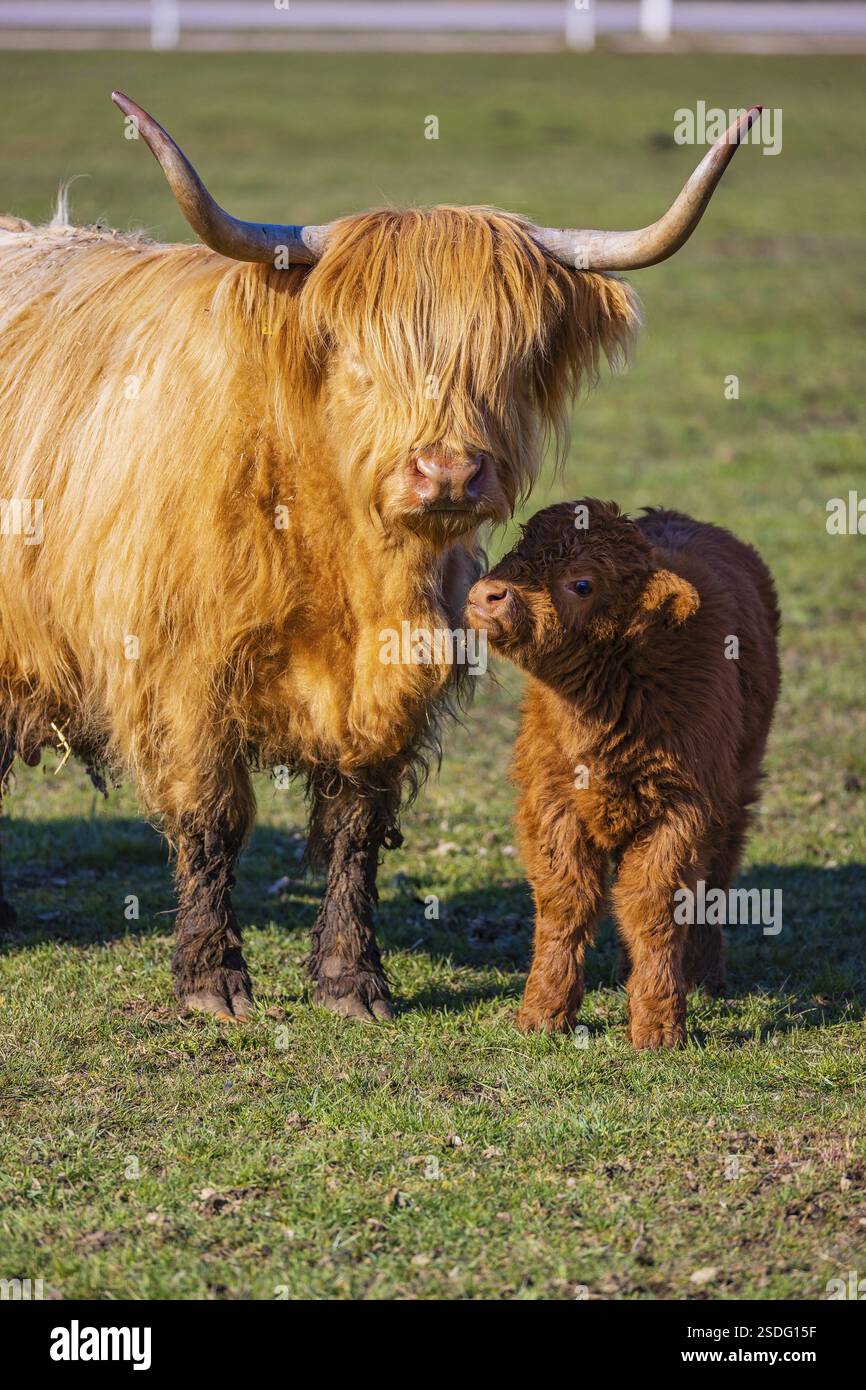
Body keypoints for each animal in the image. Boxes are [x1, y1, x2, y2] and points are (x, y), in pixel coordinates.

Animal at [0, 95, 760, 1022]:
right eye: (361, 356)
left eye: (508, 361)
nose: (449, 472)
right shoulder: (180, 674)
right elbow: (212, 819)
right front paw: (213, 980)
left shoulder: (394, 684)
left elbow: (356, 825)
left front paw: (349, 977)